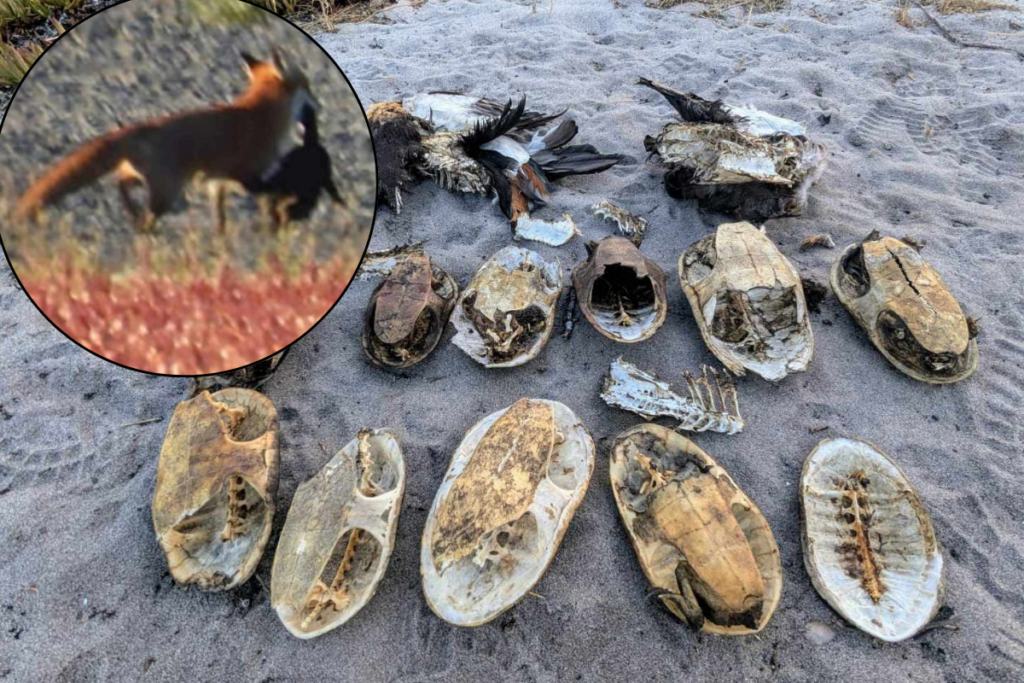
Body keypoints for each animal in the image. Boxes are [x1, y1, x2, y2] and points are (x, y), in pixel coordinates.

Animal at [13, 50, 317, 232]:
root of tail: (133, 129)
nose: (317, 104)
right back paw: (145, 234)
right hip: (167, 192)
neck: (260, 111)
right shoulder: (244, 175)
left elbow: (220, 219)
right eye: (308, 85)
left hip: (149, 181)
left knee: (120, 184)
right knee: (143, 211)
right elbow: (267, 193)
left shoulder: (217, 184)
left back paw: (133, 215)